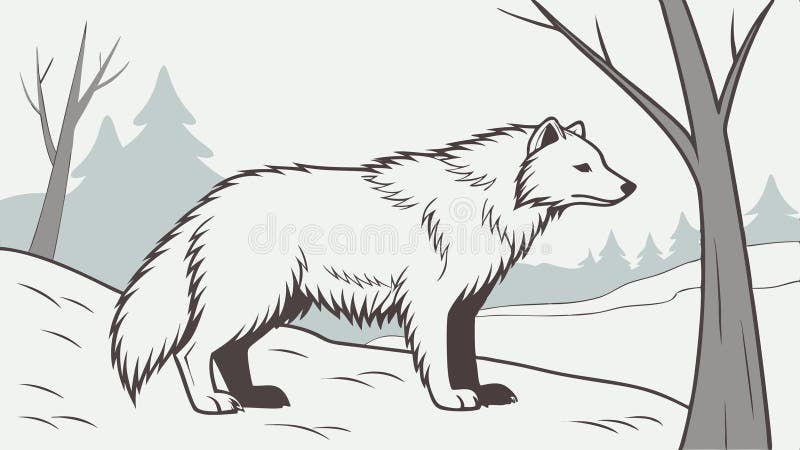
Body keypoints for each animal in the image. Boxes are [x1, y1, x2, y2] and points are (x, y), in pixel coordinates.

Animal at [110, 117, 635, 414]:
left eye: (604, 161)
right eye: (583, 167)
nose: (631, 186)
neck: (486, 201)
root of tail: (207, 203)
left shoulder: (465, 305)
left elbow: (464, 355)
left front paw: (478, 392)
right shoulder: (429, 302)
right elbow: (438, 359)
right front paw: (449, 399)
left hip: (276, 302)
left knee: (228, 352)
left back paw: (256, 396)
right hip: (253, 301)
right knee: (192, 350)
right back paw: (211, 403)